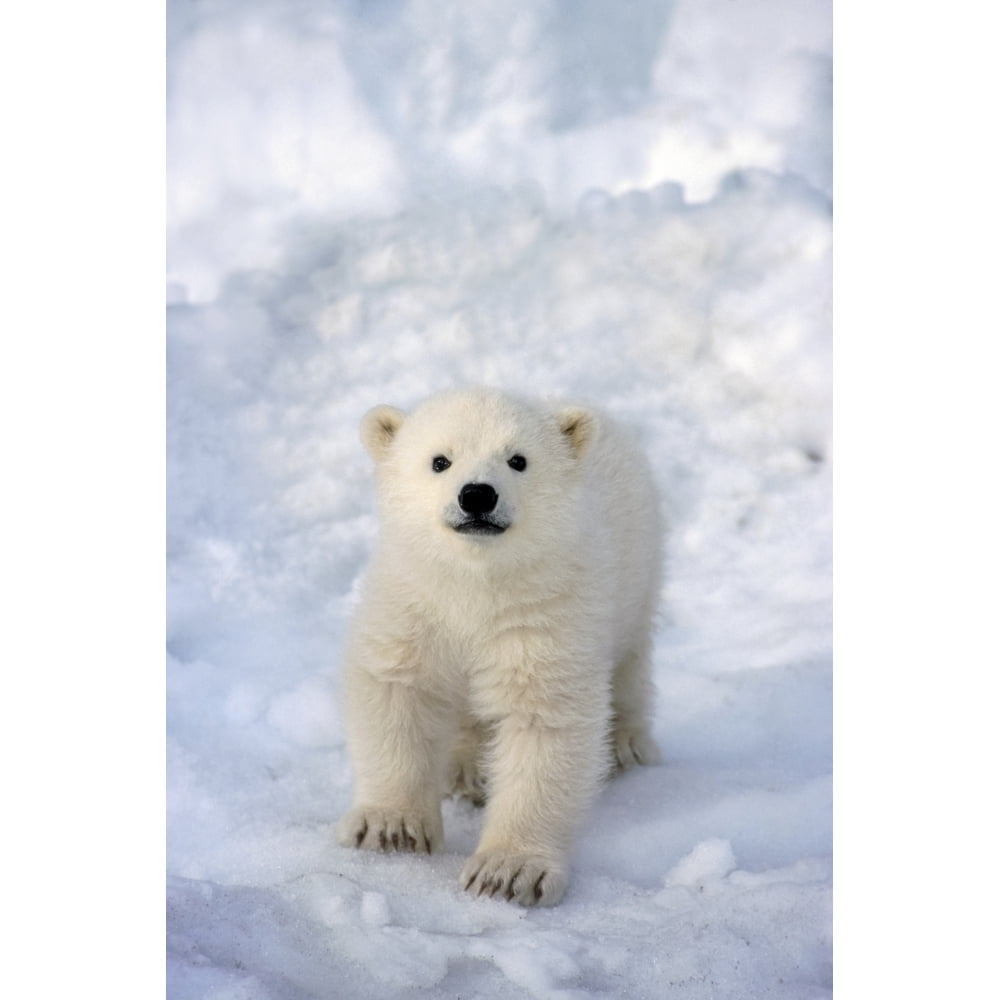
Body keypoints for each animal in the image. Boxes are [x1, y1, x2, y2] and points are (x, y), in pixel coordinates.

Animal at [337, 387, 663, 906]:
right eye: (440, 460)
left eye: (518, 460)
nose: (477, 494)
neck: (477, 584)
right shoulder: (415, 604)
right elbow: (397, 688)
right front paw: (391, 828)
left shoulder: (544, 617)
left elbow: (542, 722)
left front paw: (507, 873)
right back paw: (465, 770)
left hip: (638, 571)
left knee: (631, 659)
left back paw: (626, 745)